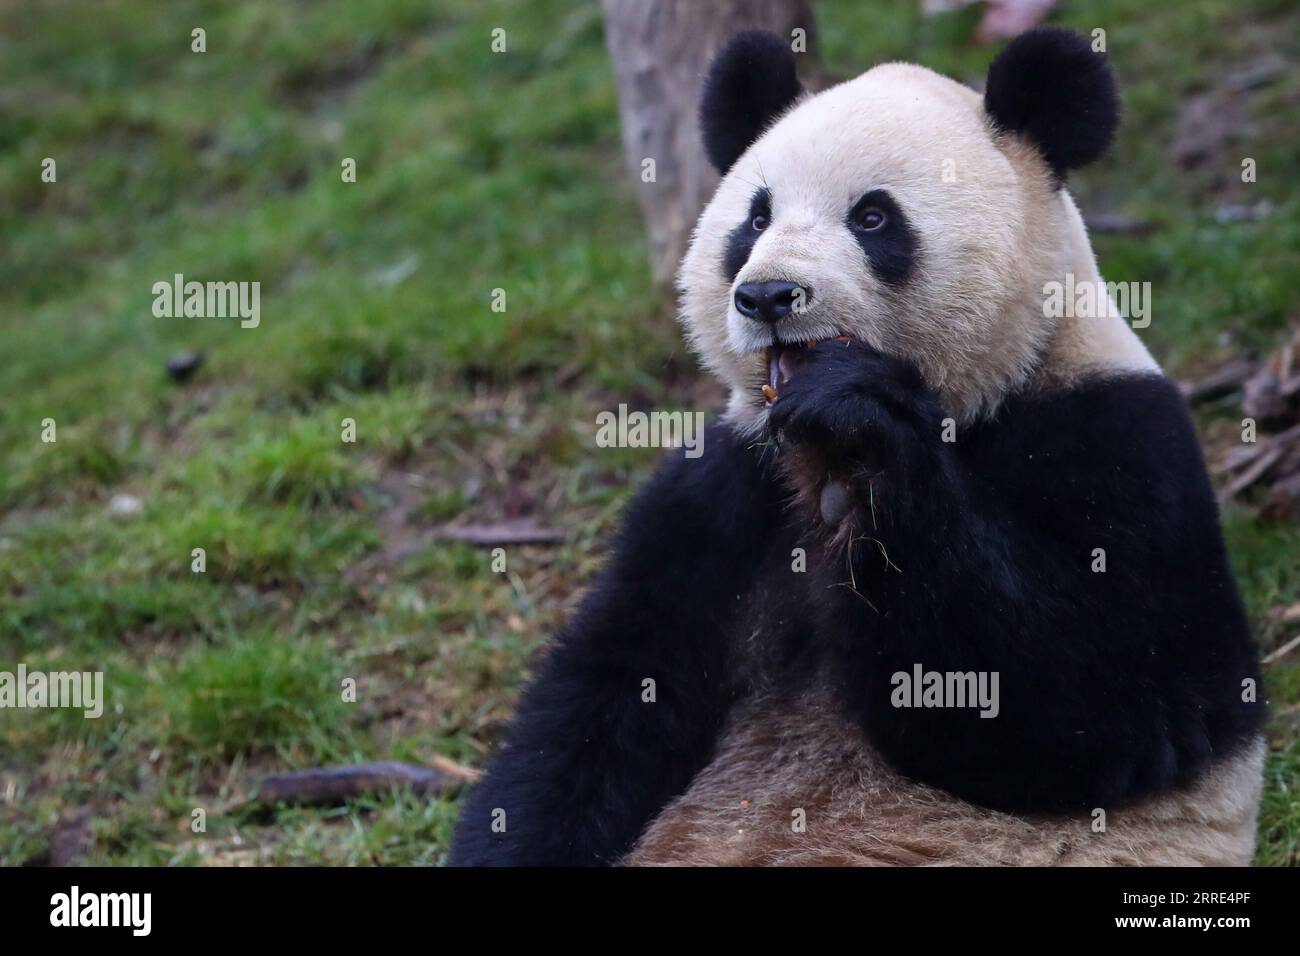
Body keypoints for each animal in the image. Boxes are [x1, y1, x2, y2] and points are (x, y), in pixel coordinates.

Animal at [450, 27, 1266, 866]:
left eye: (873, 218)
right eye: (755, 219)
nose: (768, 297)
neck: (971, 401)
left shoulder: (1121, 441)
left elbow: (1110, 706)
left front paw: (862, 435)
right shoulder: (726, 489)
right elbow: (614, 692)